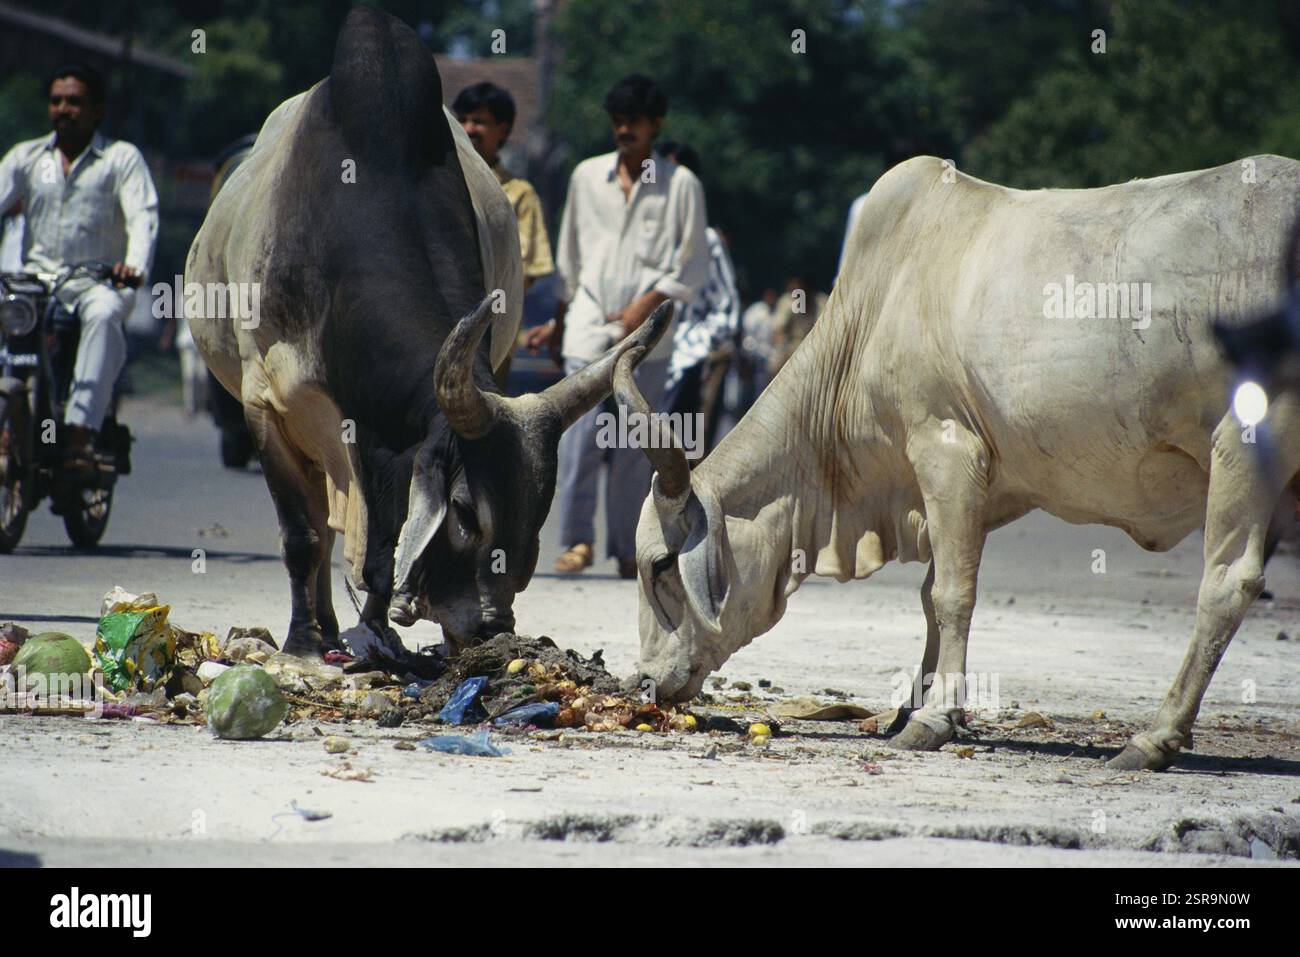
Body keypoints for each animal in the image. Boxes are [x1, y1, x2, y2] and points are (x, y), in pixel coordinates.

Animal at [184, 8, 670, 658]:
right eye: (463, 512)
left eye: (535, 515)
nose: (490, 627)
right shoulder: (265, 408)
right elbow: (303, 535)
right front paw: (306, 641)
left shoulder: (389, 441)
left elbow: (383, 548)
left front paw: (379, 634)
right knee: (321, 529)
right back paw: (323, 629)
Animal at [616, 153, 1300, 772]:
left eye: (658, 567)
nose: (643, 682)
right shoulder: (989, 483)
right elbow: (930, 591)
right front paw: (907, 708)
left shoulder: (945, 449)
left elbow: (952, 593)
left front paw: (933, 719)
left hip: (1246, 440)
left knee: (1227, 584)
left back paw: (1153, 738)